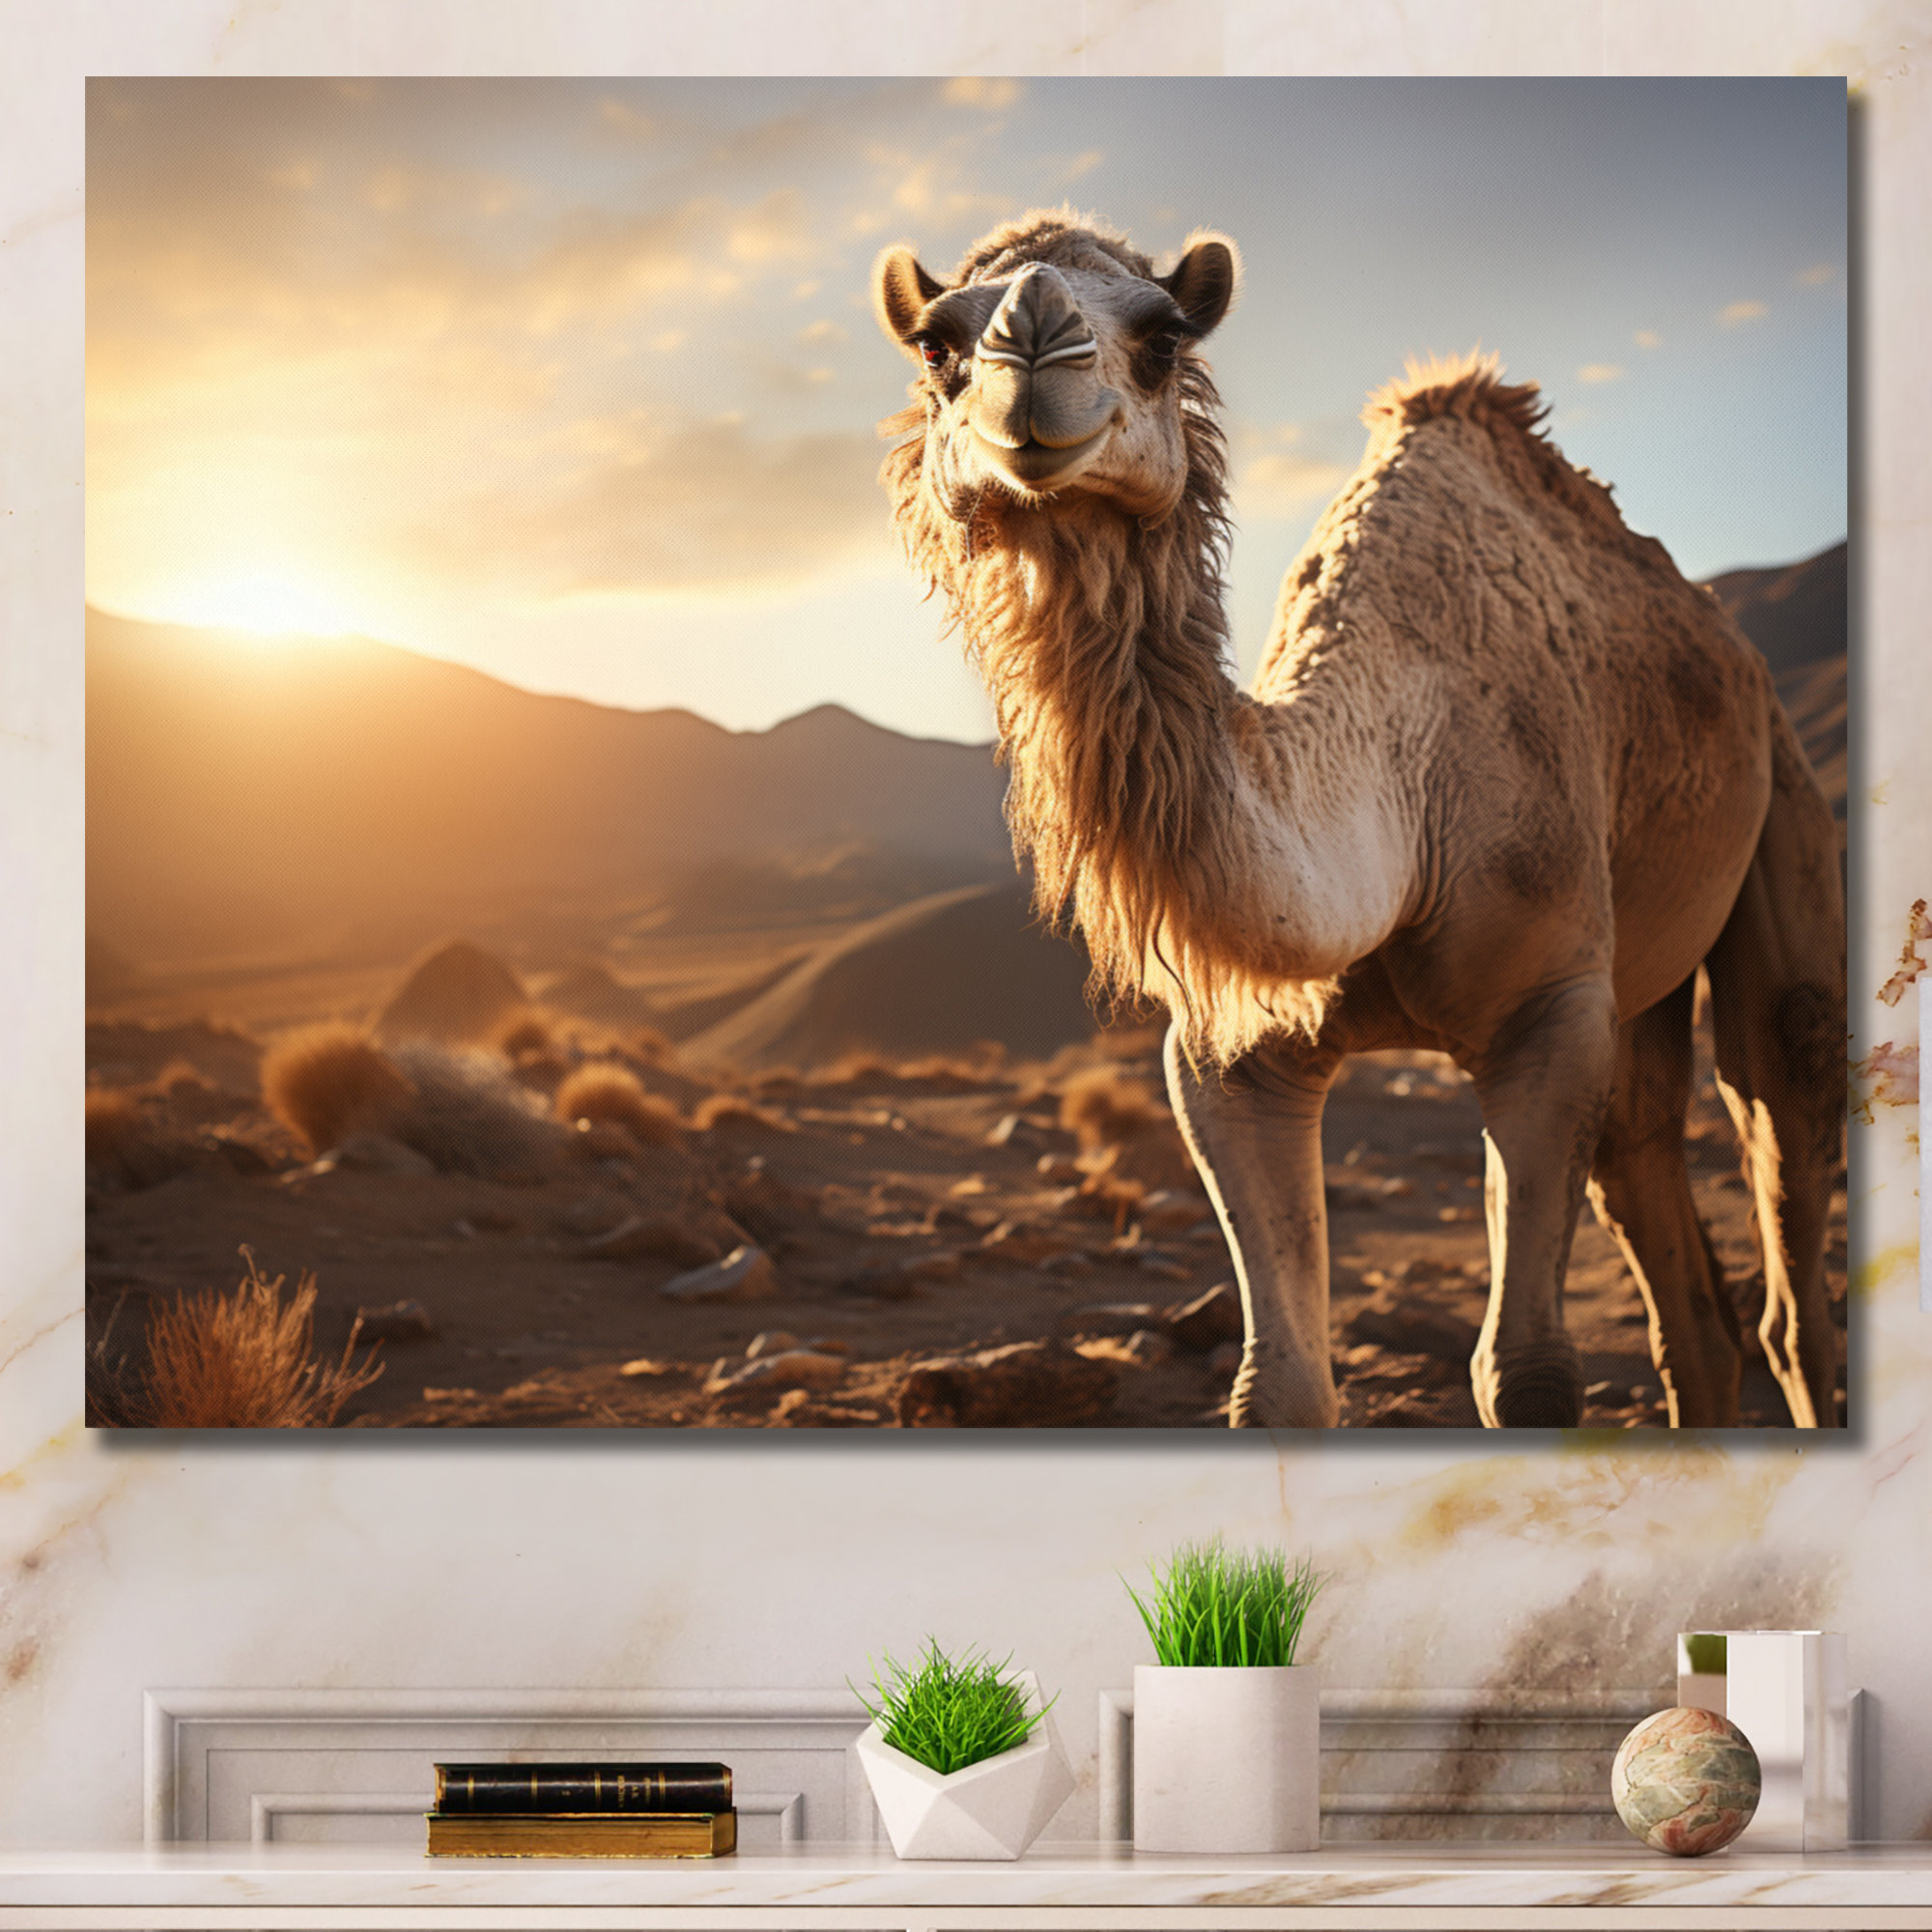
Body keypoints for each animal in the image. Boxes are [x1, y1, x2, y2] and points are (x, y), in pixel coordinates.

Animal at [871, 209, 1845, 1430]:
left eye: (1161, 334)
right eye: (935, 344)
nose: (1034, 343)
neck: (1400, 808)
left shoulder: (1542, 1010)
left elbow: (1523, 1373)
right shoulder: (1225, 1055)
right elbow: (1274, 1384)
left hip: (1781, 812)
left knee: (1786, 1135)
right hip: (1638, 978)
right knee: (1652, 1178)